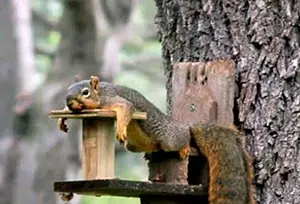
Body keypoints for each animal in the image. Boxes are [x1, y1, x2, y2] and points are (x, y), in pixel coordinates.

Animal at [56, 75, 255, 204]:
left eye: (85, 92)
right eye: (67, 91)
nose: (69, 102)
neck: (101, 93)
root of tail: (181, 125)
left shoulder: (112, 100)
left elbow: (126, 108)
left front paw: (120, 128)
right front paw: (62, 117)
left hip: (170, 138)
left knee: (182, 138)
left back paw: (183, 147)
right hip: (135, 146)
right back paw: (151, 152)